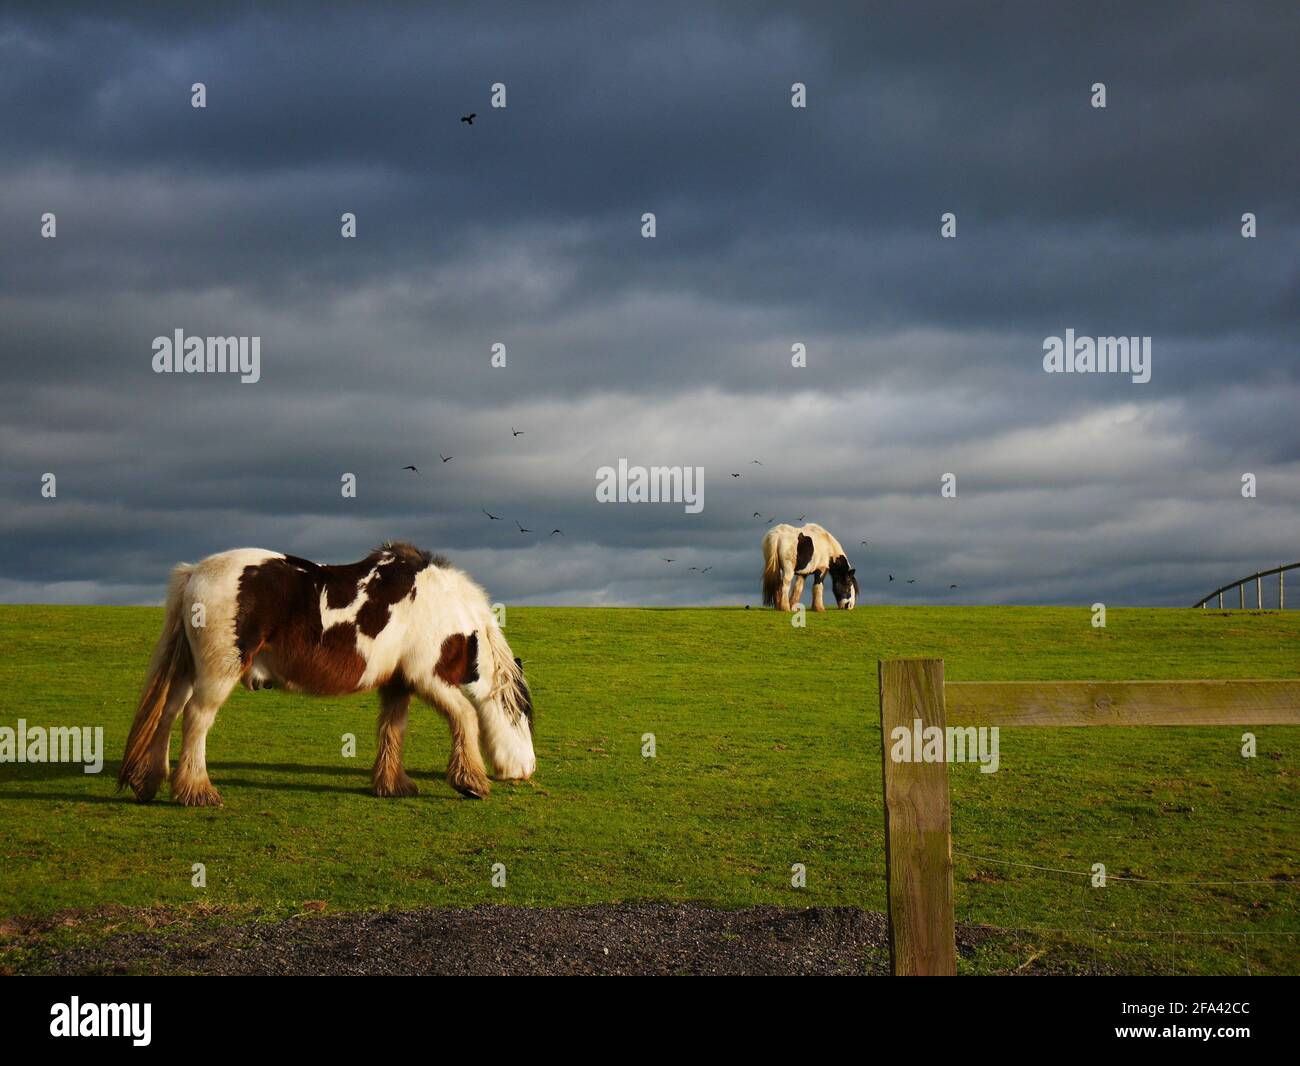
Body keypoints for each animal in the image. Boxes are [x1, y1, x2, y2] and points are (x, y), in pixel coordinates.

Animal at [118, 541, 534, 807]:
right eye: (524, 716)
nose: (527, 770)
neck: (442, 605)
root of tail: (195, 573)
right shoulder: (427, 677)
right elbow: (465, 716)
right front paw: (471, 782)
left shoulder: (398, 684)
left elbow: (393, 729)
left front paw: (392, 784)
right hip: (217, 673)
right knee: (195, 719)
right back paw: (197, 791)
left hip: (189, 673)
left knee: (169, 713)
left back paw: (149, 782)